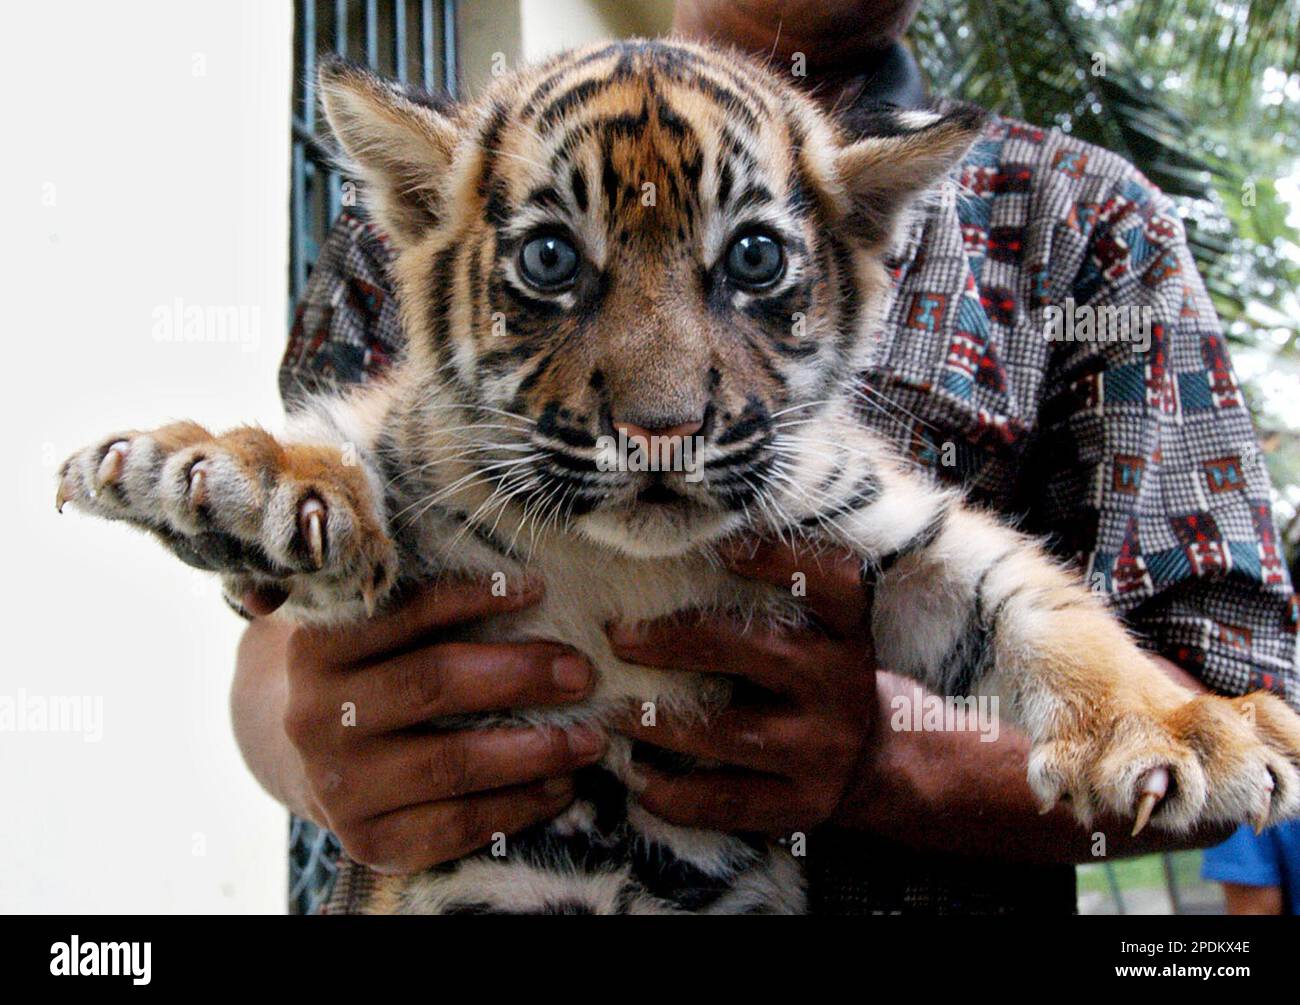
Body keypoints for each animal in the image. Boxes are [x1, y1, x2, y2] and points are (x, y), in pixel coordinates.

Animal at [56, 38, 1300, 914]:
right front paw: (226, 480)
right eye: (550, 258)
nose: (659, 433)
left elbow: (1048, 606)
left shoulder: (892, 538)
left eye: (750, 258)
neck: (622, 566)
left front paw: (1192, 734)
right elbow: (344, 451)